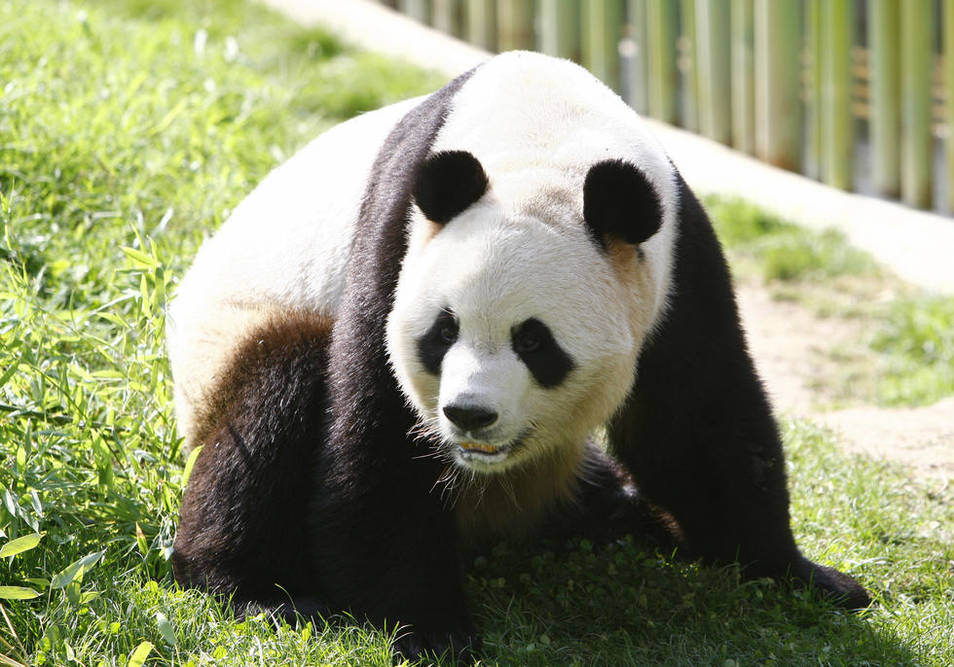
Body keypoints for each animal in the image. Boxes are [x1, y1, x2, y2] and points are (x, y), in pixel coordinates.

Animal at [168, 51, 869, 662]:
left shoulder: (674, 262)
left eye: (533, 342)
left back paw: (629, 515)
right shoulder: (396, 243)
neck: (542, 142)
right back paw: (260, 592)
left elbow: (699, 426)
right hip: (235, 339)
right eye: (443, 332)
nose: (468, 415)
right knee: (270, 410)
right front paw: (433, 631)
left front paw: (809, 578)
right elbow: (377, 432)